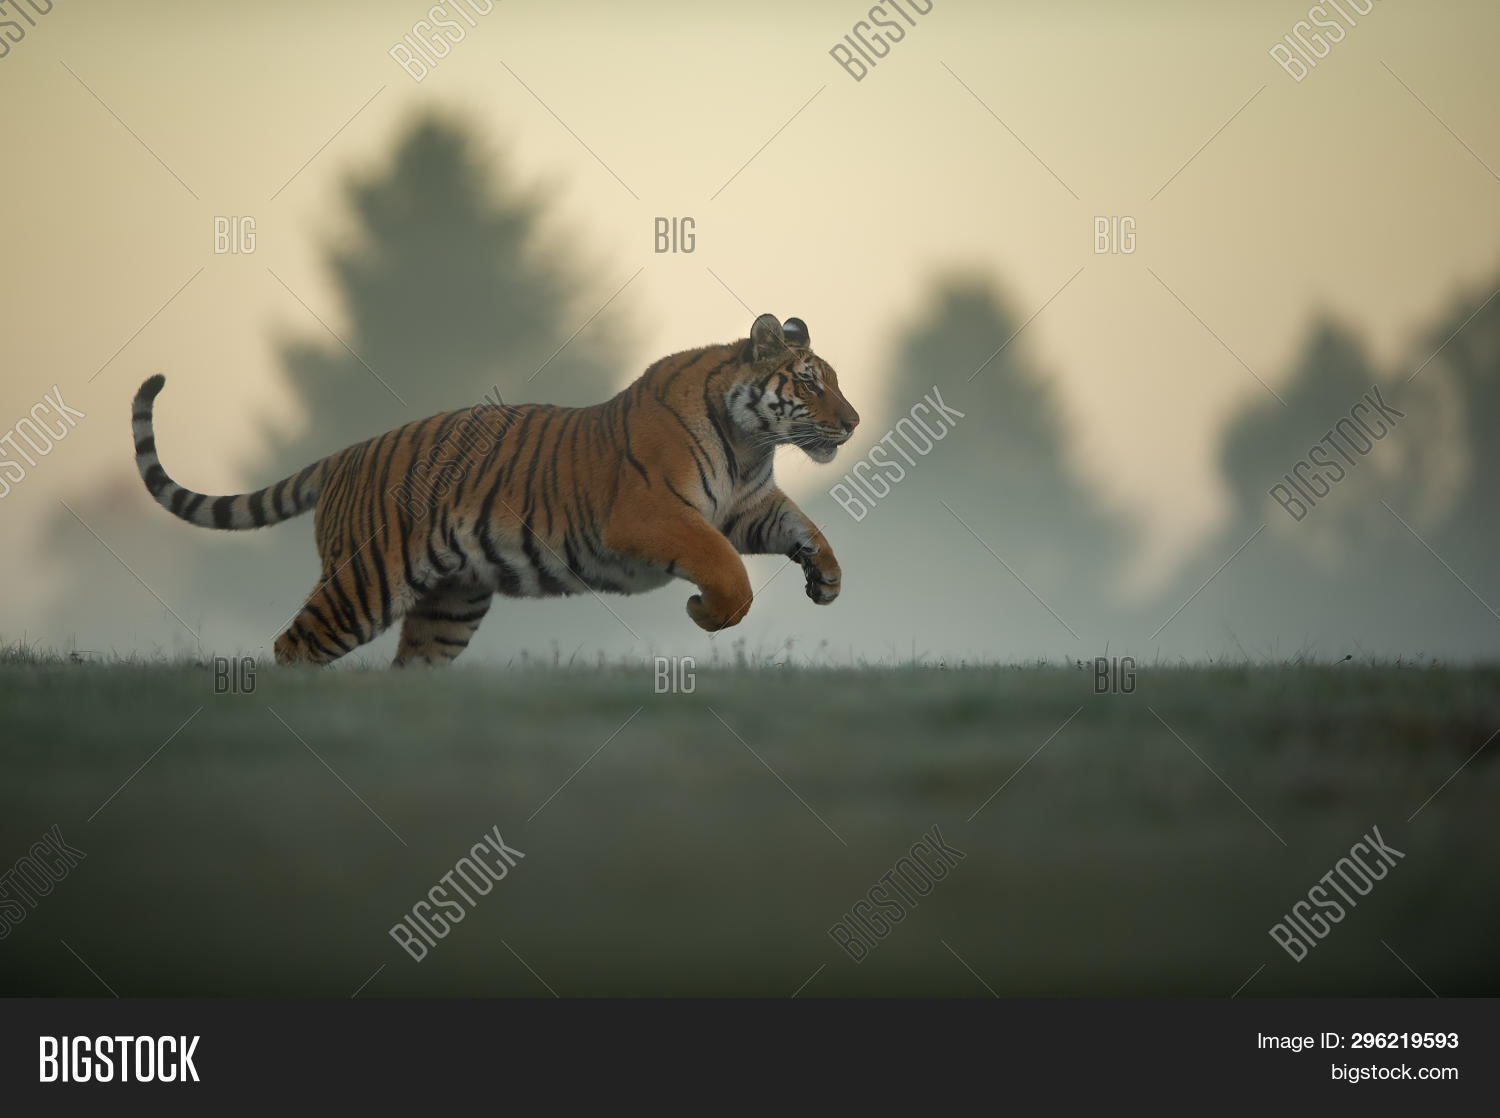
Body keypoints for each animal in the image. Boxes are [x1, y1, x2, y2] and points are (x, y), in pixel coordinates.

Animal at [131, 313, 861, 667]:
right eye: (809, 382)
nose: (853, 423)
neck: (749, 444)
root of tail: (345, 454)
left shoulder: (747, 506)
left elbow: (802, 527)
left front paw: (825, 578)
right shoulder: (653, 513)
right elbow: (728, 570)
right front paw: (705, 614)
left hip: (449, 605)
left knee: (409, 666)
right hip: (365, 582)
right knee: (295, 646)